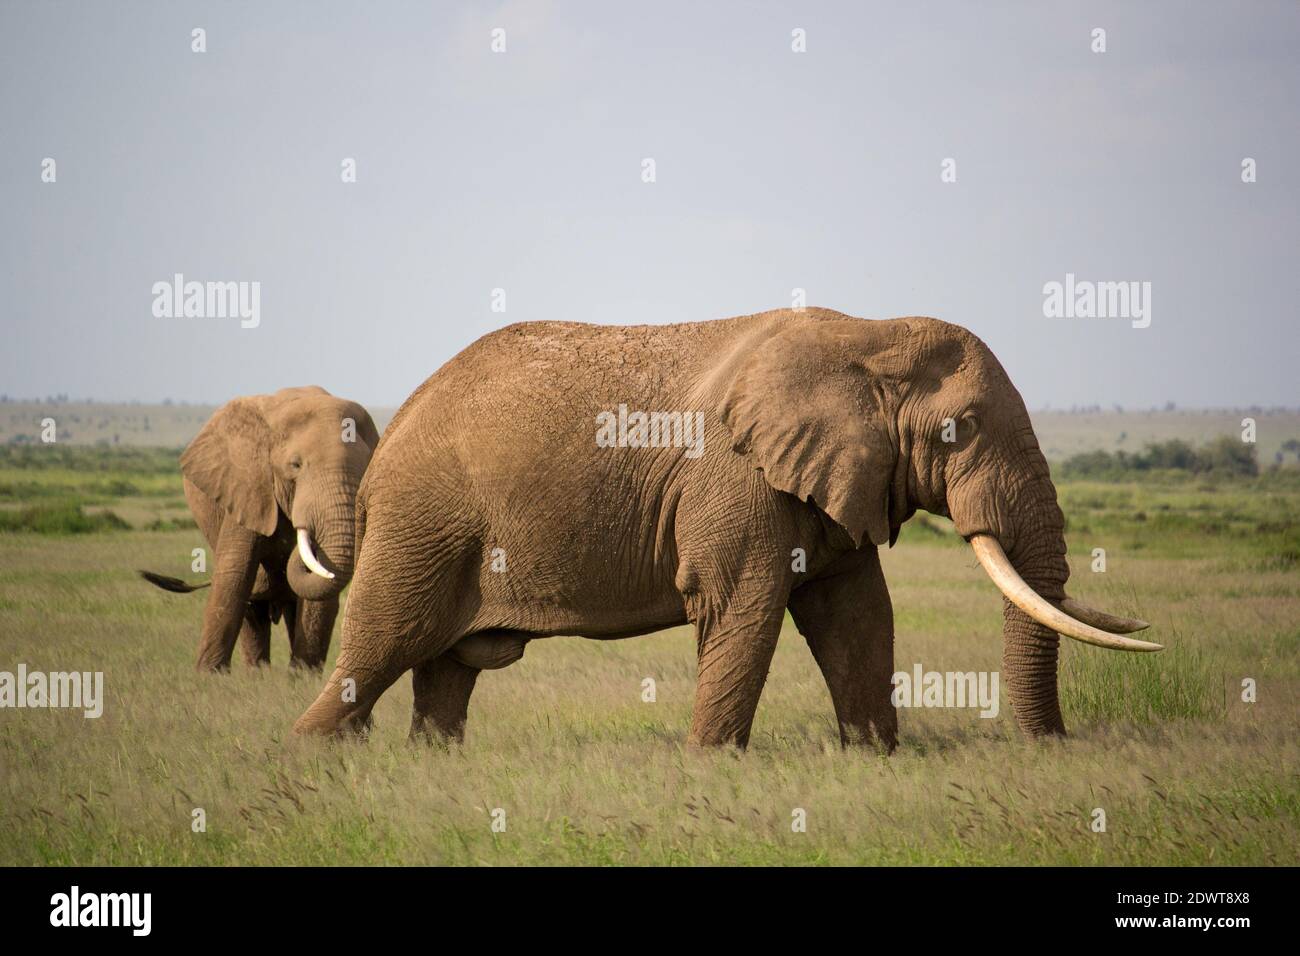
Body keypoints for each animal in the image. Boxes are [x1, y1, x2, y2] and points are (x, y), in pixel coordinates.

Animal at [141, 386, 380, 672]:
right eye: (295, 465)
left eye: (366, 469)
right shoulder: (246, 486)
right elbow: (235, 573)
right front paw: (209, 676)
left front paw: (302, 677)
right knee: (252, 607)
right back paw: (257, 674)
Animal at [293, 309, 1160, 748]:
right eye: (965, 428)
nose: (1055, 746)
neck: (867, 333)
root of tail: (395, 425)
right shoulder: (735, 476)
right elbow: (741, 602)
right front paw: (712, 766)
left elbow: (856, 615)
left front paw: (875, 757)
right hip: (423, 521)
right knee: (386, 640)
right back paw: (315, 757)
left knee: (445, 668)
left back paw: (429, 761)